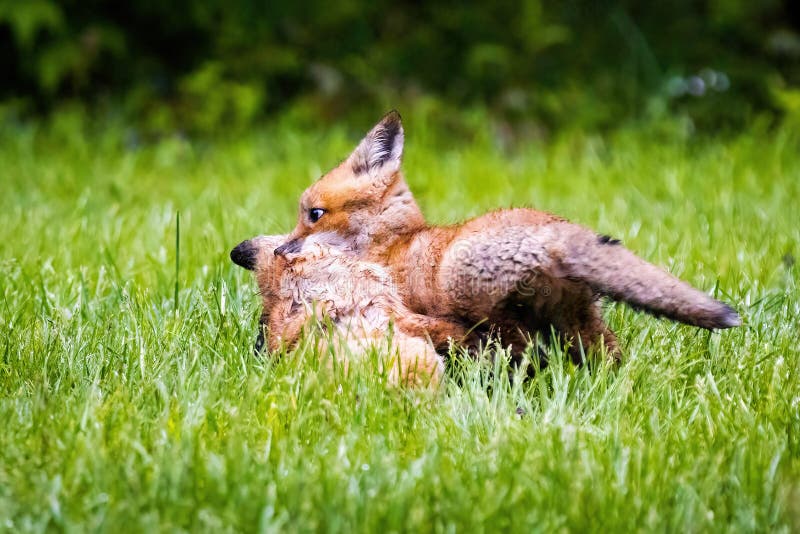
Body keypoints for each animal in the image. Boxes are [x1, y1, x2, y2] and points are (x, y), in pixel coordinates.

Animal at [268, 111, 741, 363]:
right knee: (608, 358)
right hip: (579, 325)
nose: (278, 251)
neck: (391, 244)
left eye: (313, 215)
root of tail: (553, 232)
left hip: (479, 304)